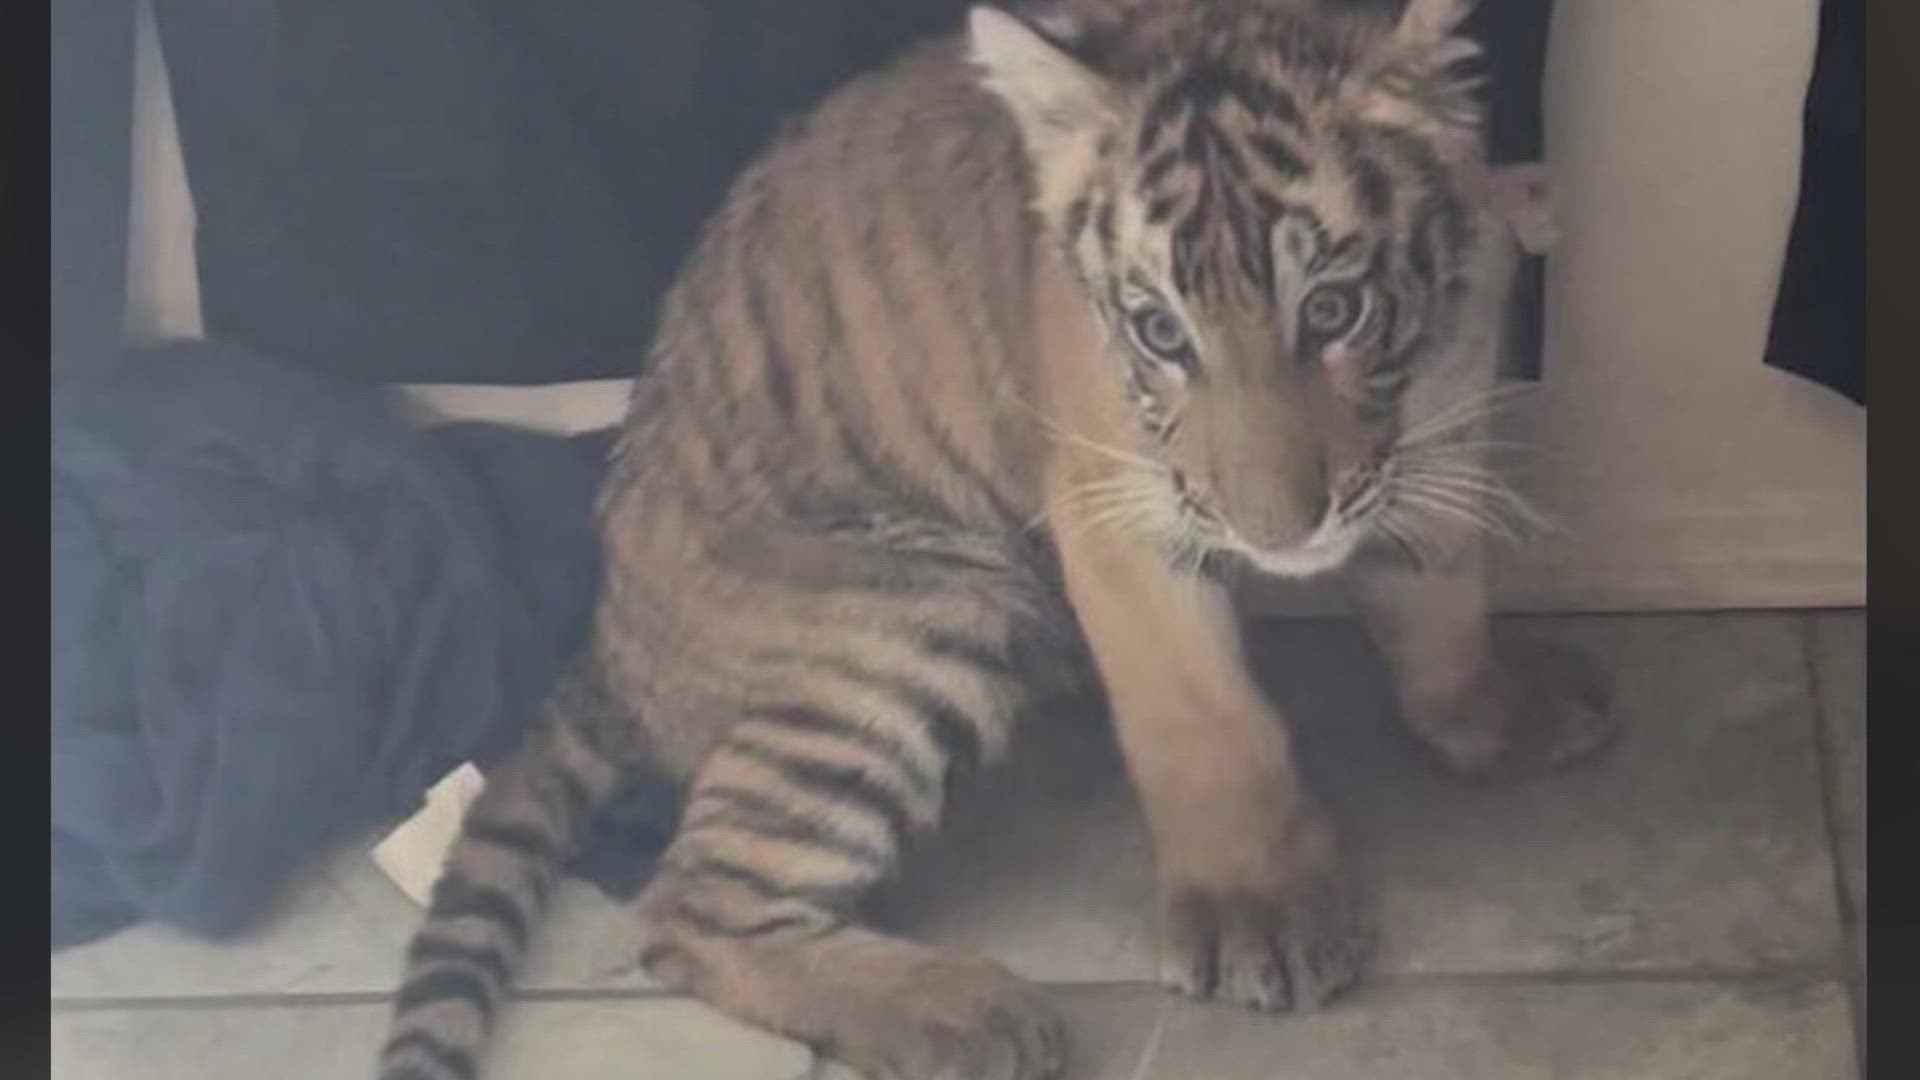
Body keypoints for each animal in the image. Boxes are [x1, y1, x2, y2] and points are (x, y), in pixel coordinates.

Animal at [375, 2, 1611, 1078]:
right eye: (1161, 331)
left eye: (1335, 309)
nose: (1278, 532)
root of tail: (608, 636)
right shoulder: (1117, 510)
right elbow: (1205, 717)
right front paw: (1256, 913)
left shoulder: (1444, 425)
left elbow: (1441, 598)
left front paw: (1497, 717)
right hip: (916, 620)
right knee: (690, 906)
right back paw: (965, 1015)